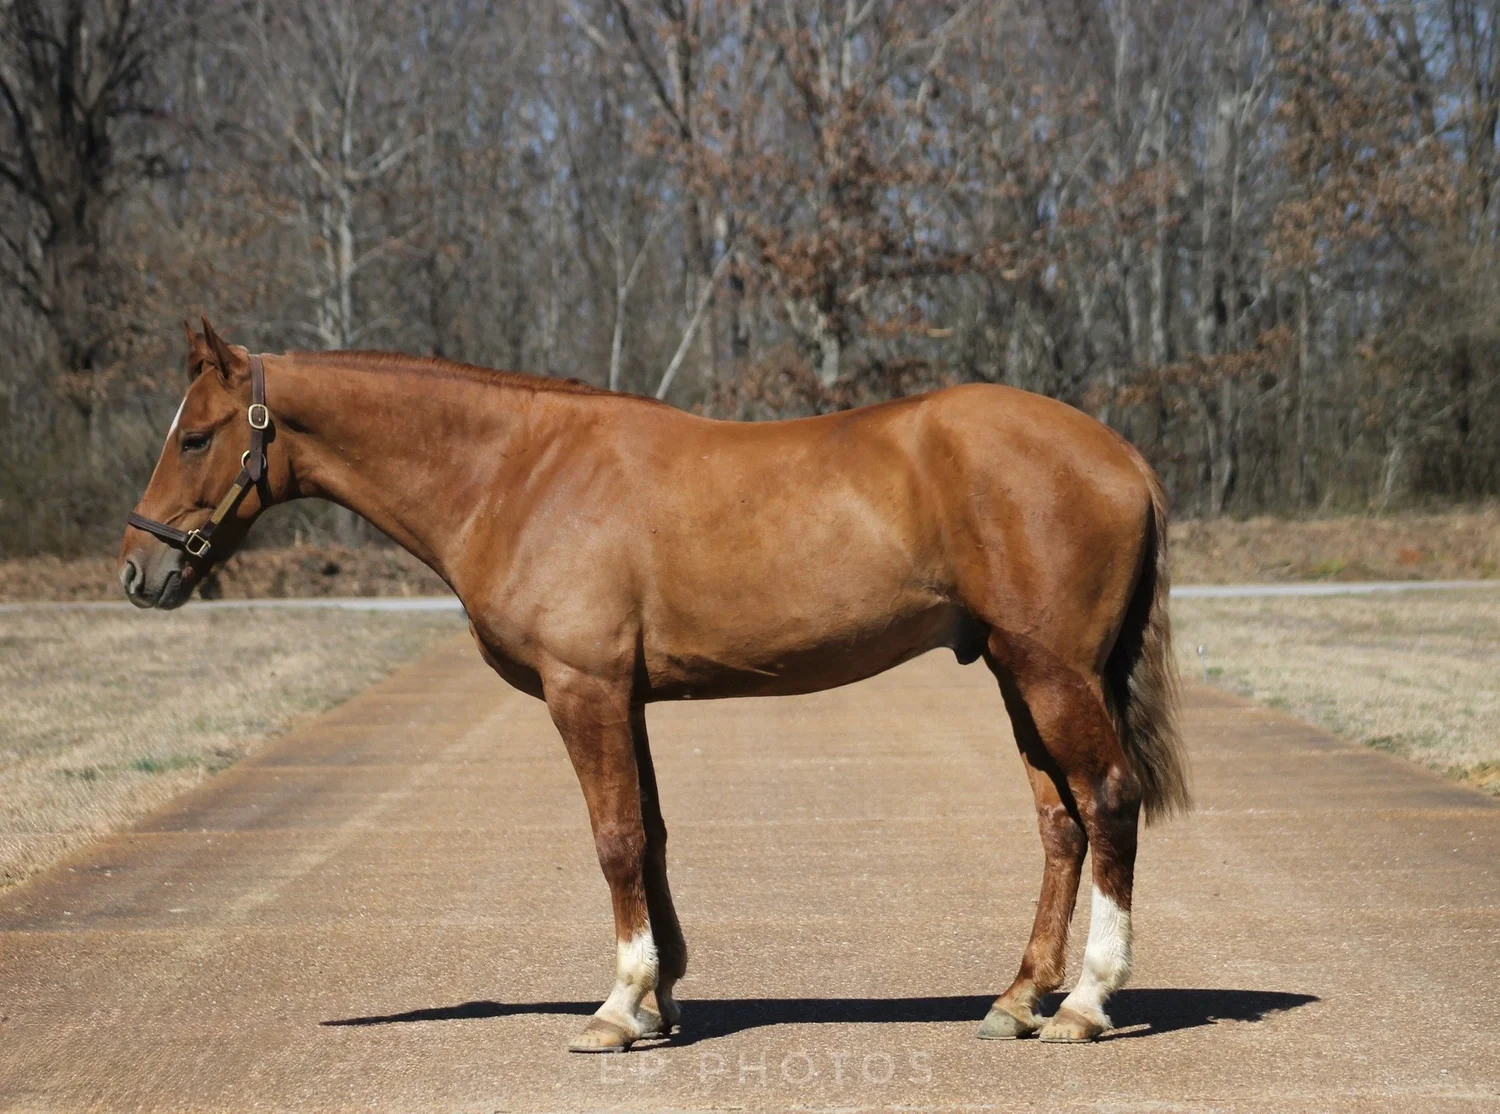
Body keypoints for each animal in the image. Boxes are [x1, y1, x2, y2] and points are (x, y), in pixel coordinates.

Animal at [119, 318, 1189, 1052]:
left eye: (196, 436)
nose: (140, 571)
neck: (518, 472)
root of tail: (1121, 454)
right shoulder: (626, 699)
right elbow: (654, 834)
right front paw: (662, 999)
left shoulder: (584, 690)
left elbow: (616, 841)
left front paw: (617, 1007)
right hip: (1016, 672)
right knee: (1059, 824)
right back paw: (1017, 999)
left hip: (1054, 673)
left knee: (1108, 801)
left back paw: (1087, 1003)